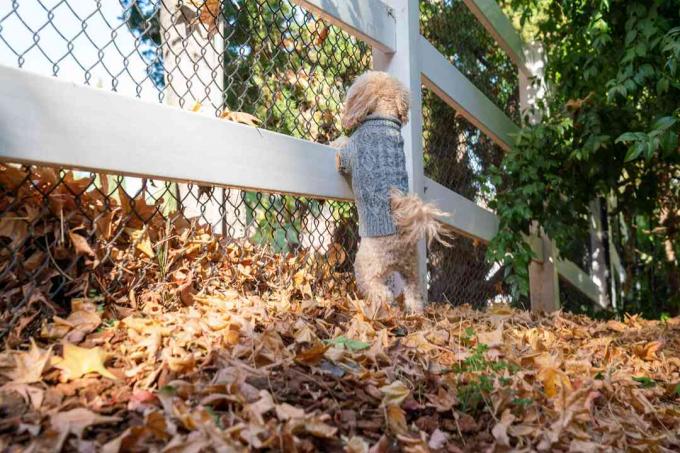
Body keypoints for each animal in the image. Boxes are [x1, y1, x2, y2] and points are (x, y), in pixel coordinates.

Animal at [332, 70, 448, 312]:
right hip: (412, 270)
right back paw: (414, 312)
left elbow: (343, 146)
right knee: (414, 293)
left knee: (381, 293)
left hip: (366, 265)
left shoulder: (349, 153)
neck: (383, 118)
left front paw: (336, 141)